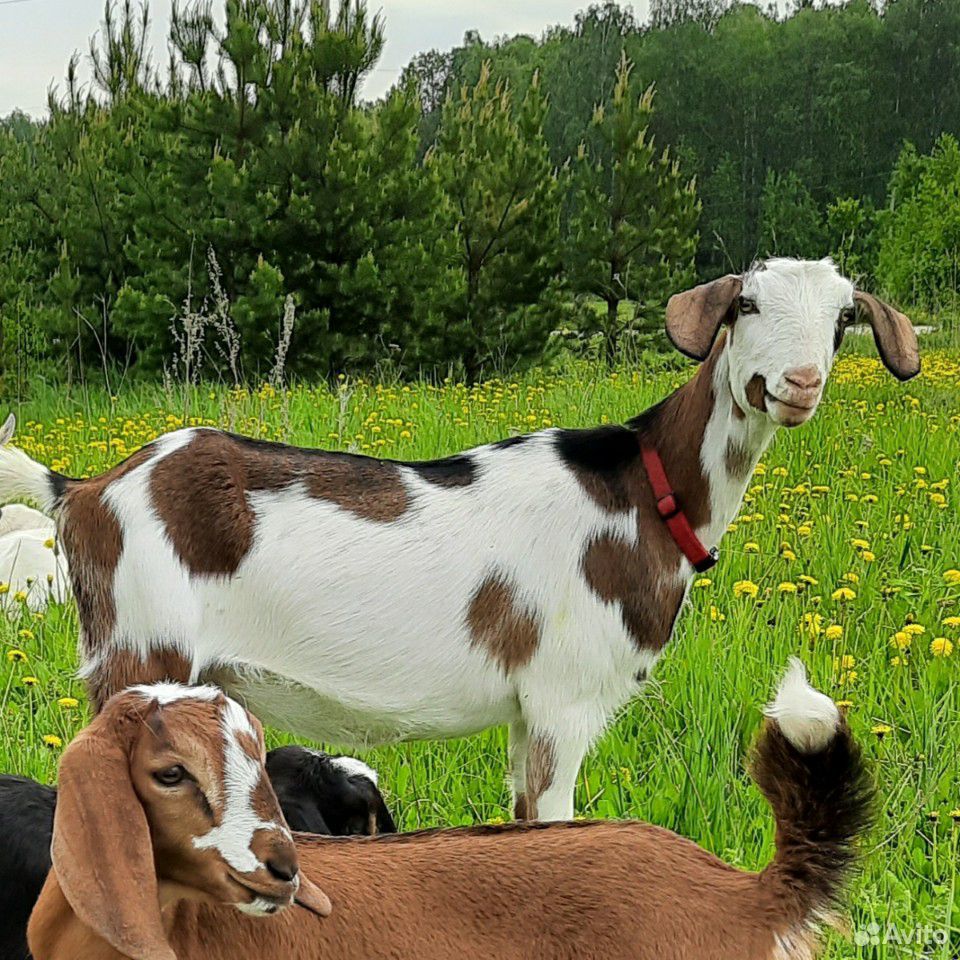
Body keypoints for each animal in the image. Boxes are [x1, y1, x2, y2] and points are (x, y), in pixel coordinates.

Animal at [0, 258, 918, 821]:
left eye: (844, 318)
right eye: (747, 304)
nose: (798, 383)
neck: (645, 489)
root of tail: (82, 490)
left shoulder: (527, 715)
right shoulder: (563, 699)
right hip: (140, 653)